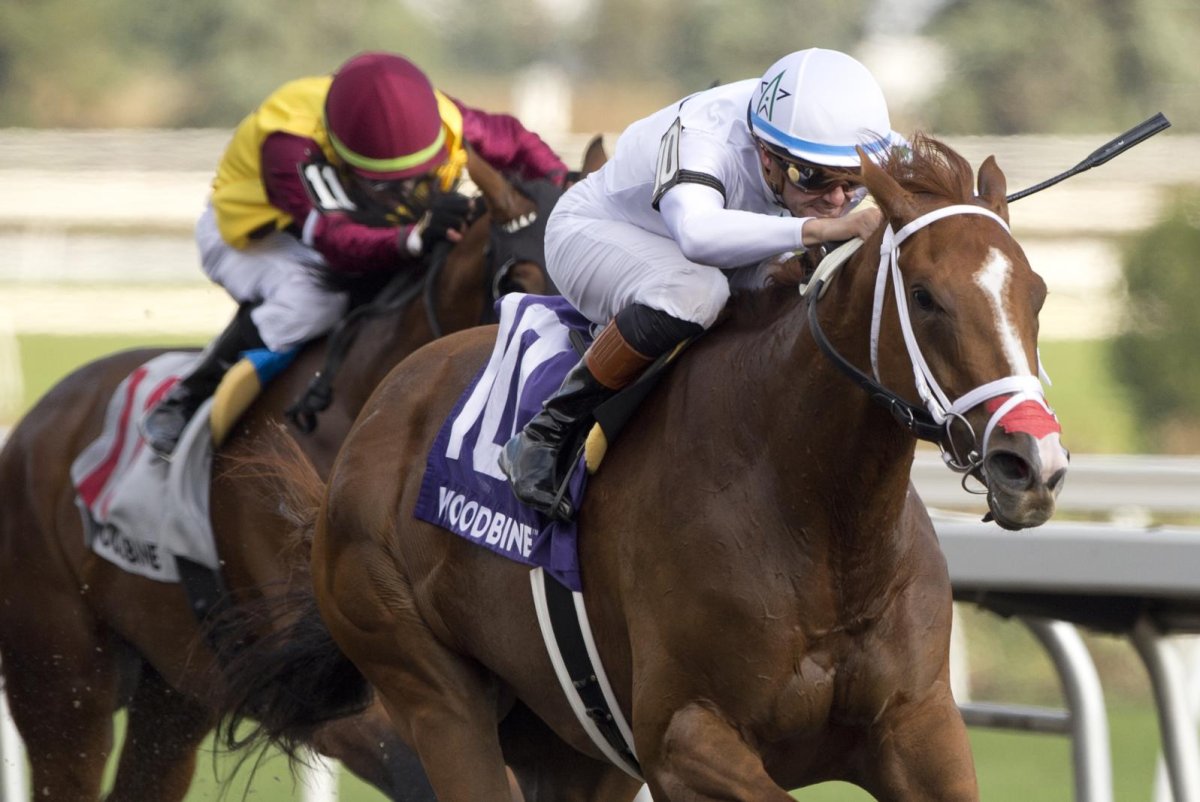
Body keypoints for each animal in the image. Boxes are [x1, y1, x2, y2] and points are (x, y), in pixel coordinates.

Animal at [0, 138, 607, 802]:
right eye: (517, 279)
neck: (356, 414)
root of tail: (35, 424)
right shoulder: (324, 681)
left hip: (173, 693)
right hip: (61, 680)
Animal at [216, 134, 1069, 800]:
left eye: (1036, 292)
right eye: (925, 297)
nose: (1031, 463)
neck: (819, 524)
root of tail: (384, 405)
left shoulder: (919, 729)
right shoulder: (683, 739)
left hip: (575, 746)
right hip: (430, 690)